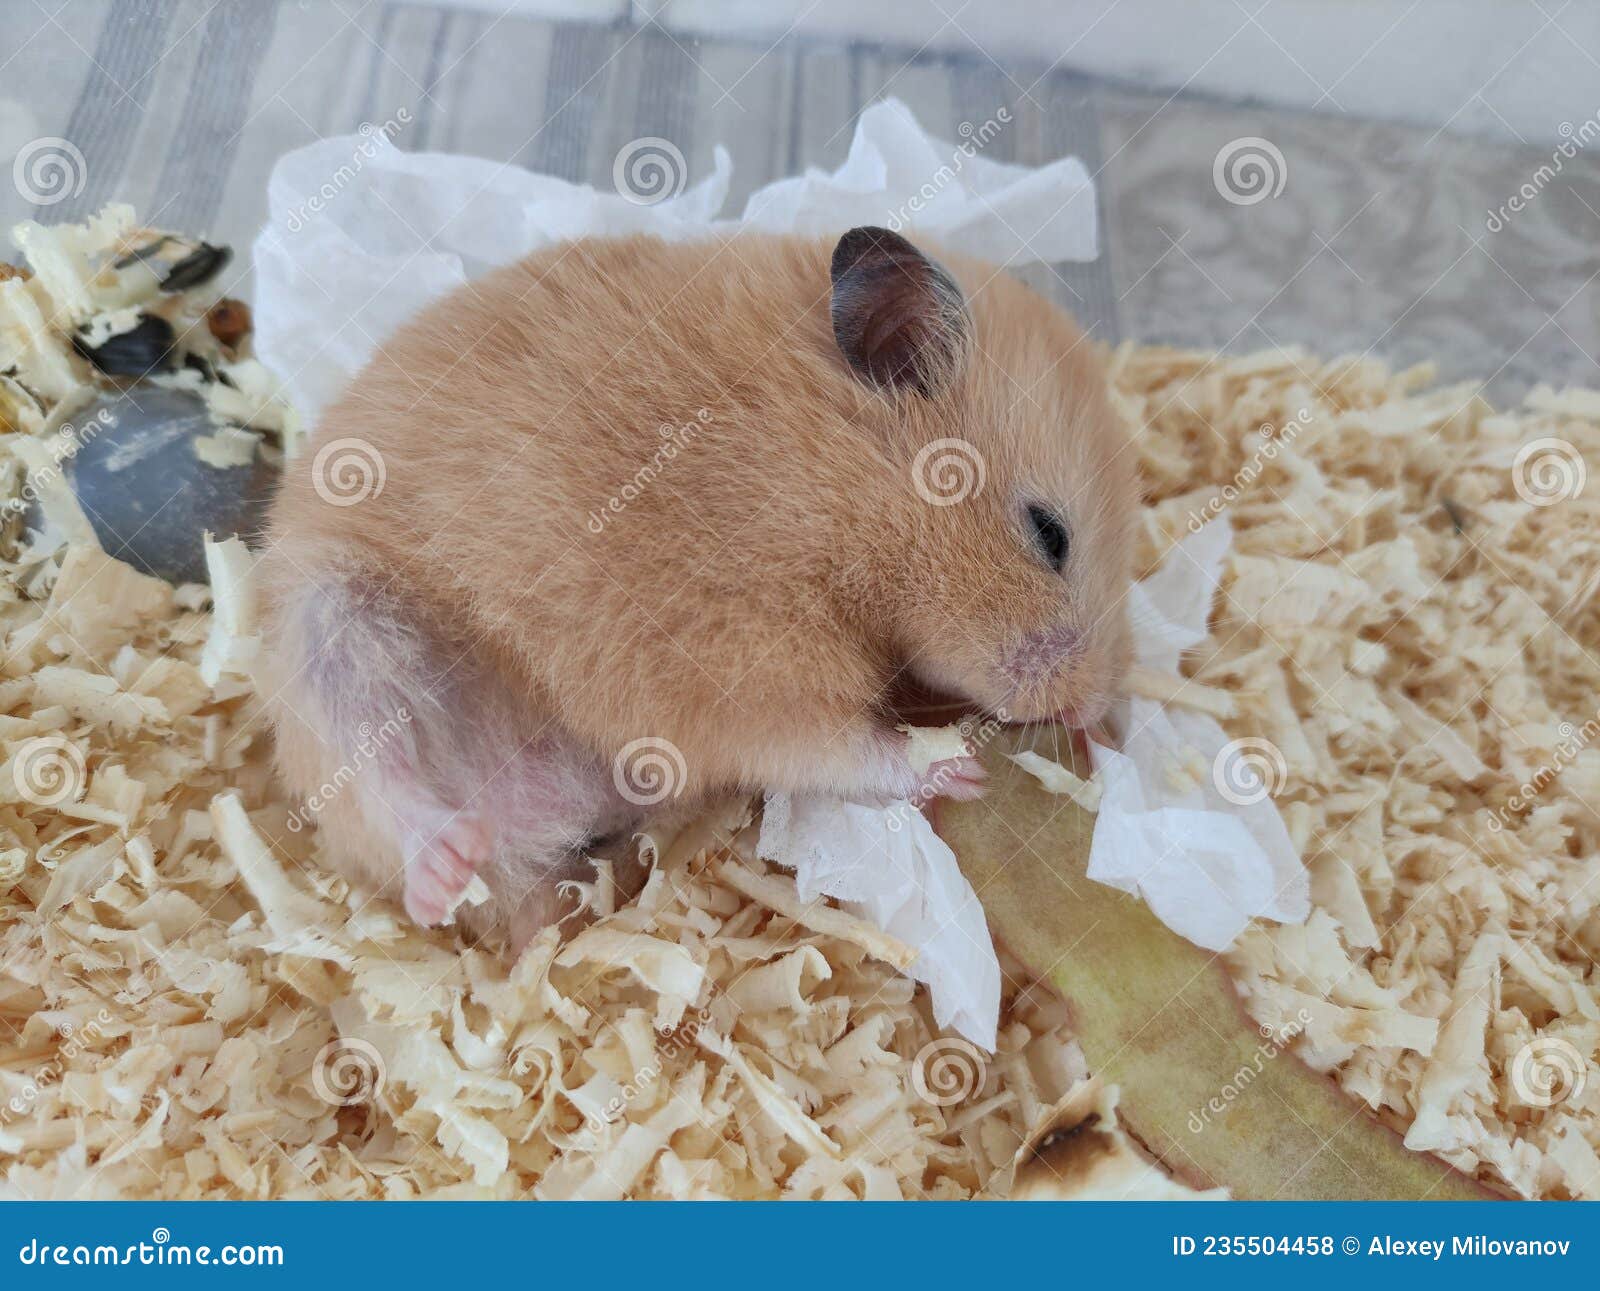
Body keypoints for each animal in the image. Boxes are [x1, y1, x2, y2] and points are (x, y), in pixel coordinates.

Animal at [258, 226, 1138, 943]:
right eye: (1050, 535)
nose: (1093, 708)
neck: (822, 470)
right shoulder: (747, 665)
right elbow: (841, 749)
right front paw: (959, 770)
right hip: (335, 631)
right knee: (385, 785)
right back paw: (444, 862)